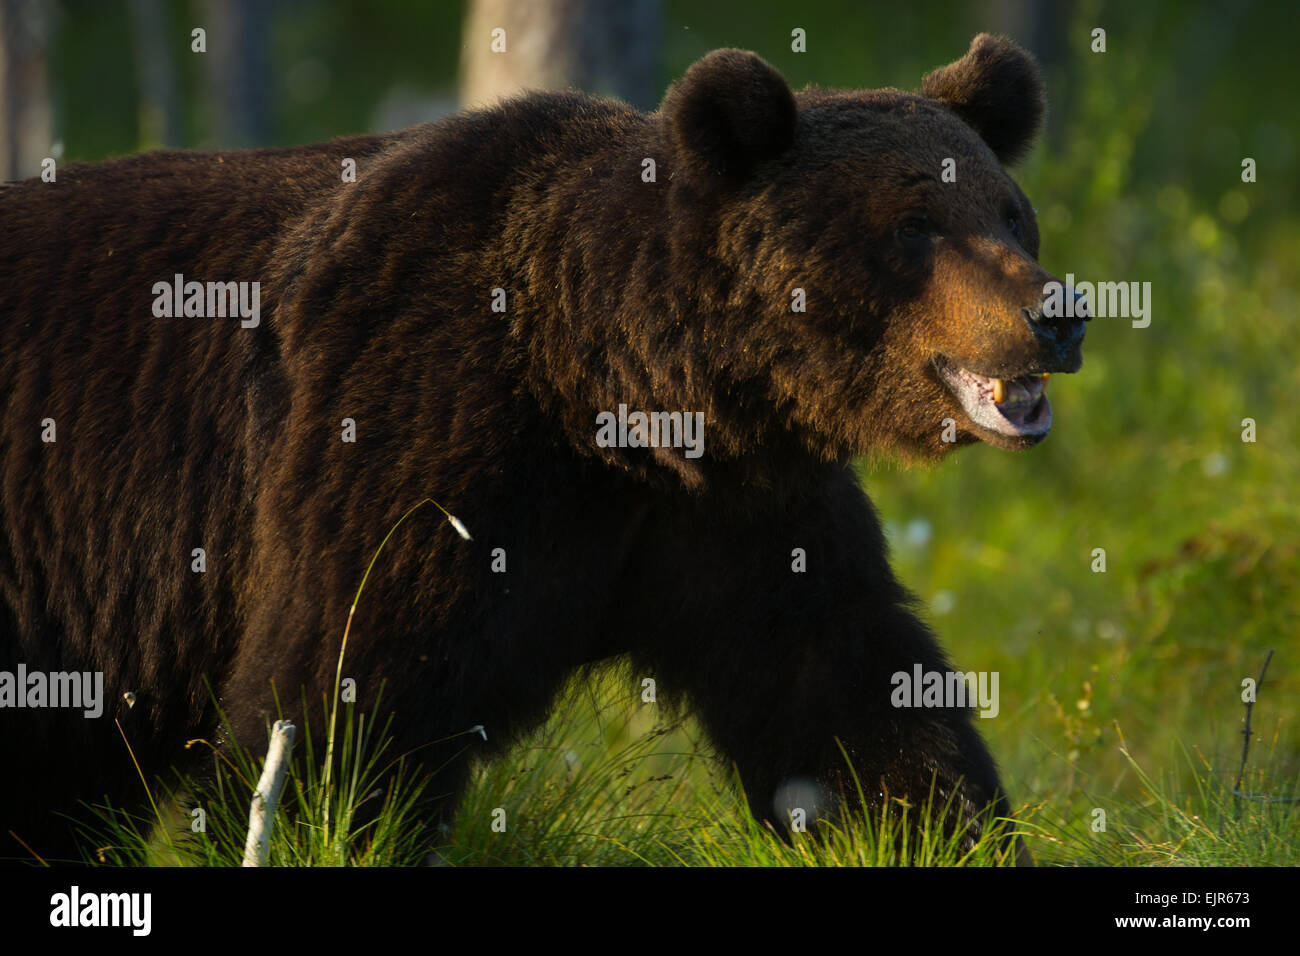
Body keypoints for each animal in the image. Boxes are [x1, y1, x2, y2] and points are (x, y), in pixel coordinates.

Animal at [0, 33, 1084, 863]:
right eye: (915, 222)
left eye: (1008, 210)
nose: (1055, 312)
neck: (611, 398)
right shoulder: (412, 431)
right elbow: (345, 687)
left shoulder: (732, 512)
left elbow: (845, 685)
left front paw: (945, 828)